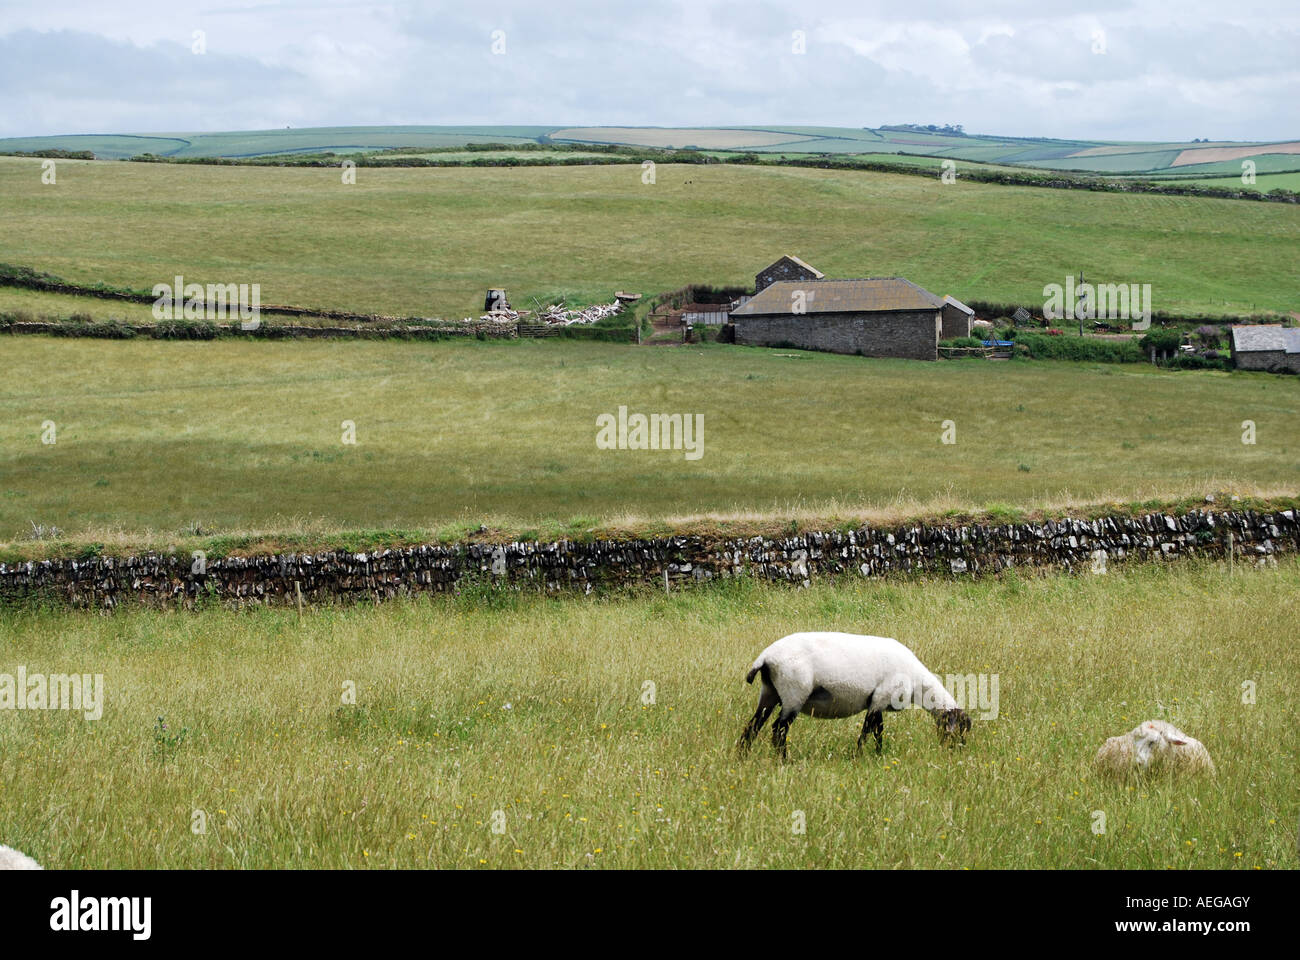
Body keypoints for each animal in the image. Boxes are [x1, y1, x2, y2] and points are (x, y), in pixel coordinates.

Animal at [737, 632, 971, 760]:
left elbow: (878, 731)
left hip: (769, 692)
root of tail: (765, 658)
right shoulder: (881, 697)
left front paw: (878, 755)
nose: (959, 752)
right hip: (793, 693)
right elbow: (867, 731)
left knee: (752, 726)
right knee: (778, 729)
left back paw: (743, 757)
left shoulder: (877, 701)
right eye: (958, 731)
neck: (917, 683)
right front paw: (858, 756)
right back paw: (785, 760)